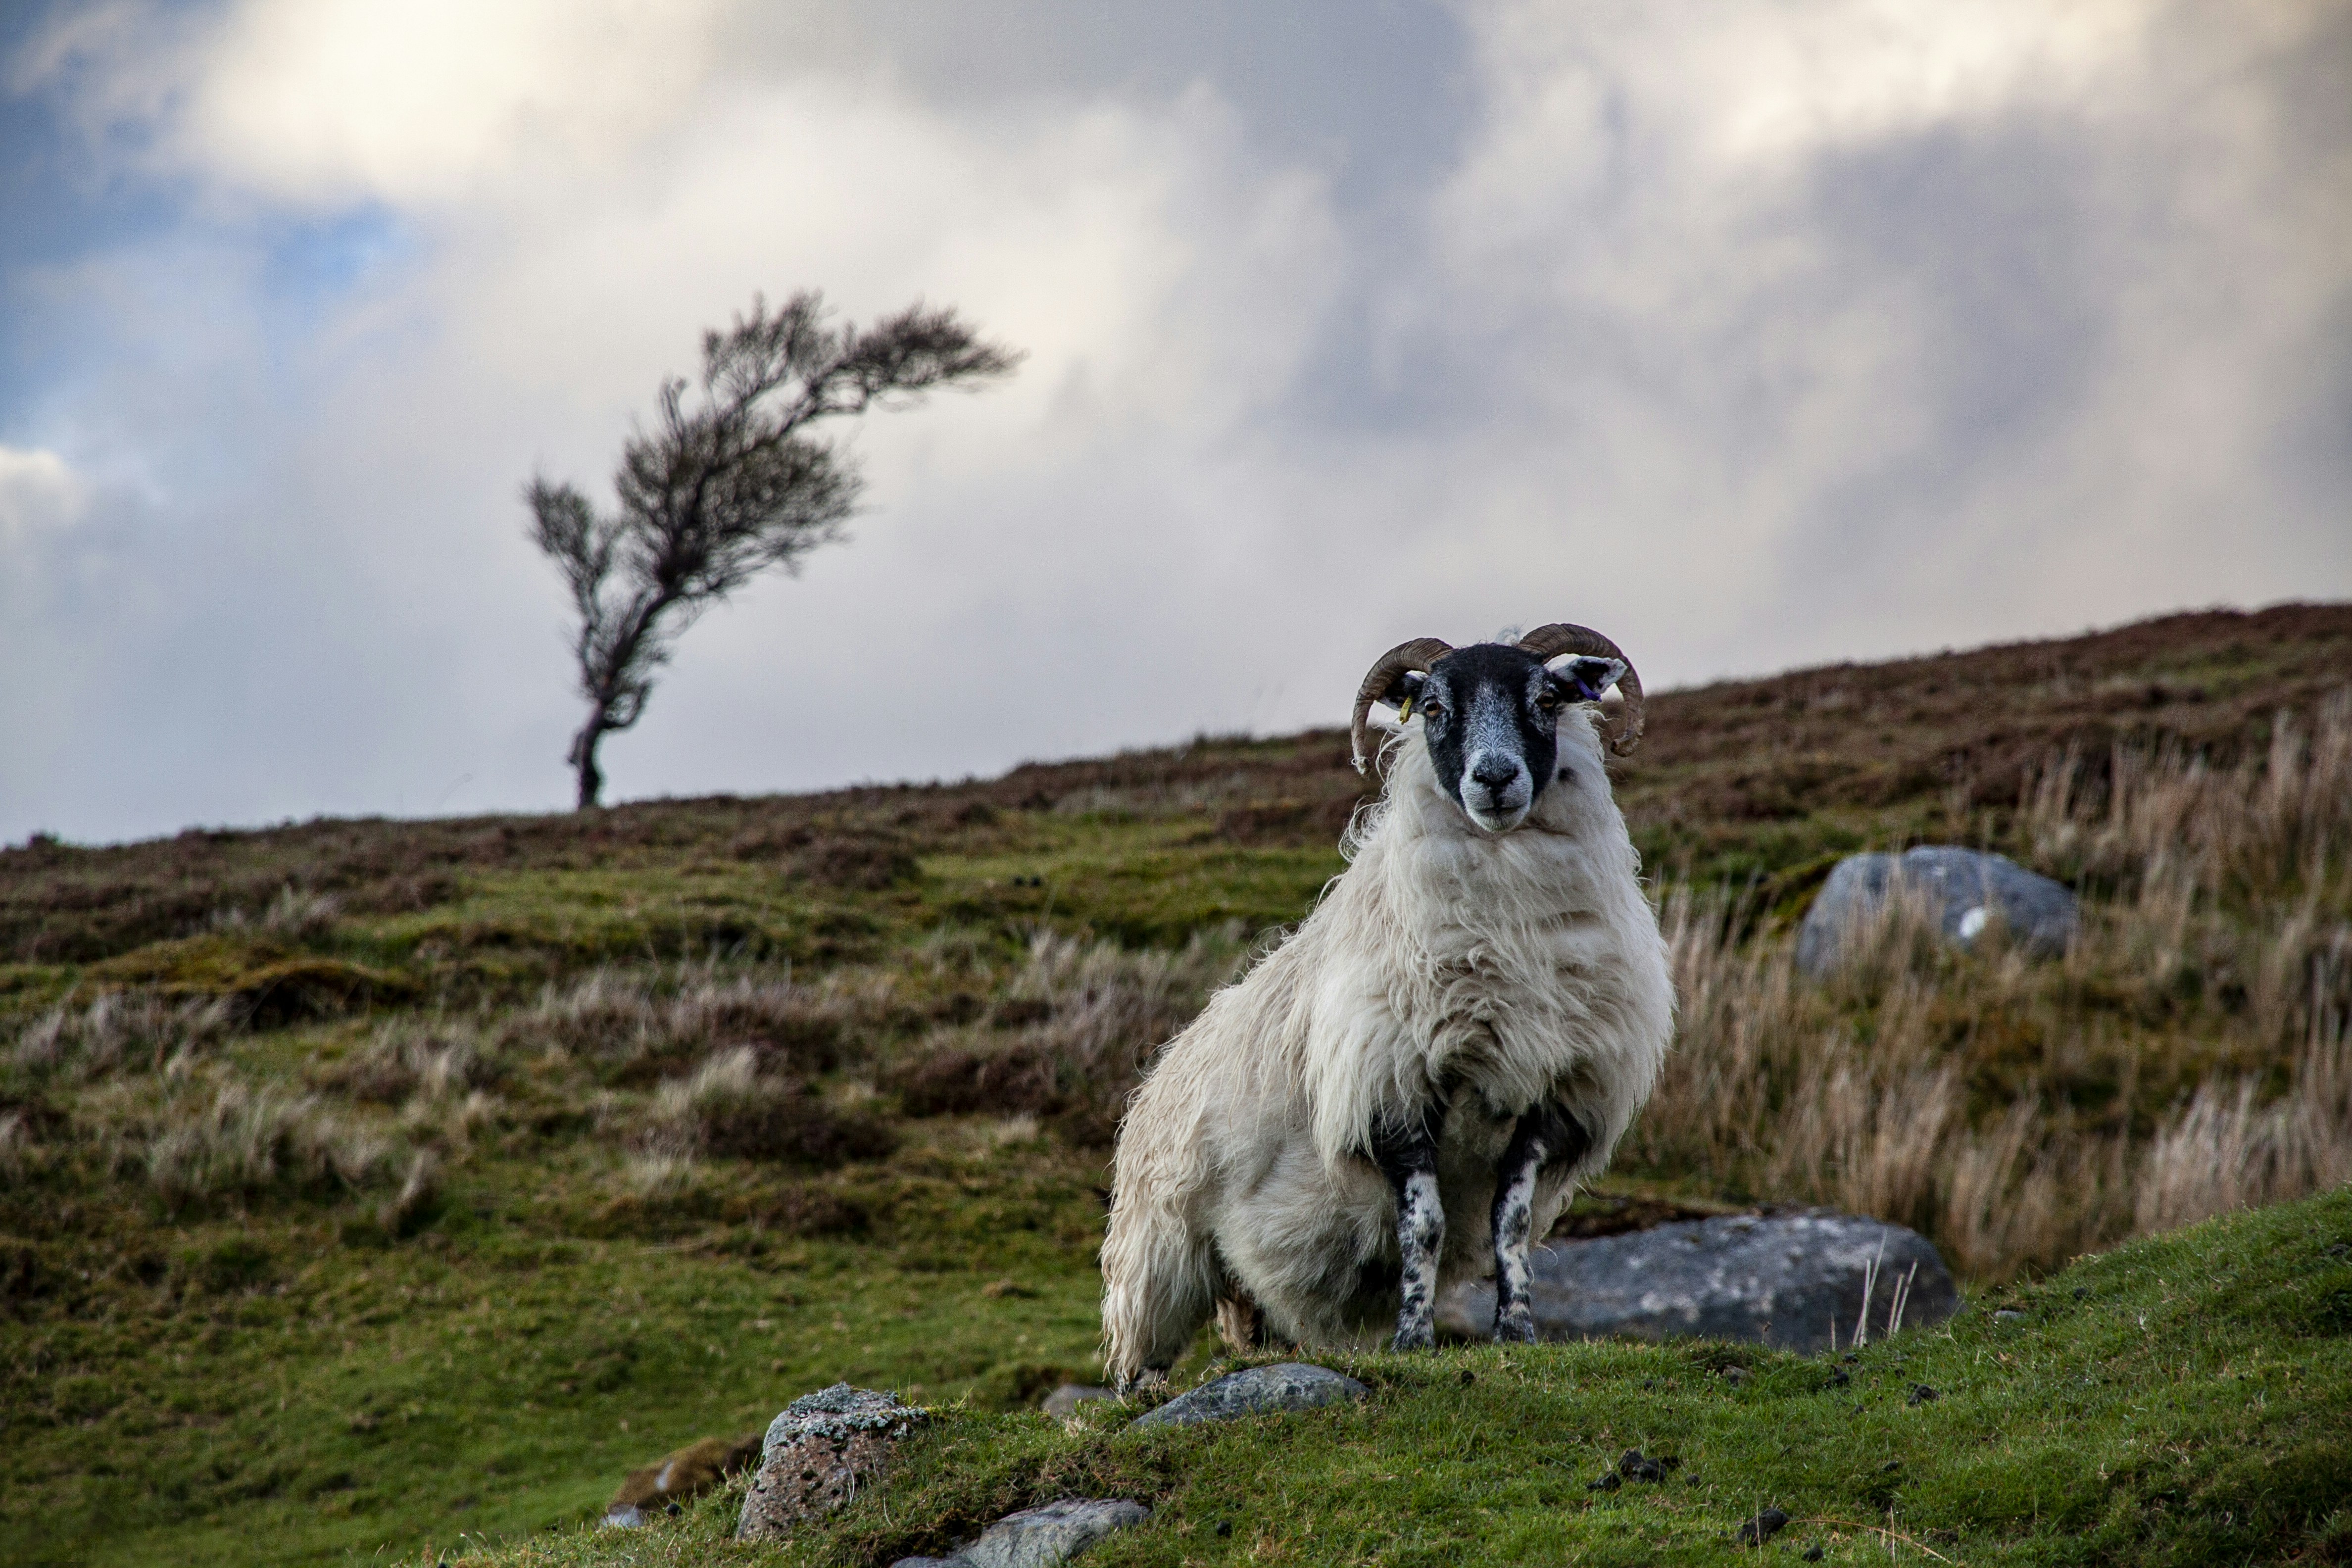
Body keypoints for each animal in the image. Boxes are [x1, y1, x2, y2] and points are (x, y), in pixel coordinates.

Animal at [1101, 624, 1674, 1387]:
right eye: (1432, 707)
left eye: (1547, 699)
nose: (1495, 777)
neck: (1509, 935)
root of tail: (1159, 1073)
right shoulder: (1393, 1095)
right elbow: (1423, 1228)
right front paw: (1413, 1340)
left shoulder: (1552, 1100)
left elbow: (1511, 1225)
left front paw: (1517, 1331)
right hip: (1159, 1254)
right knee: (1144, 1352)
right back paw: (1140, 1394)